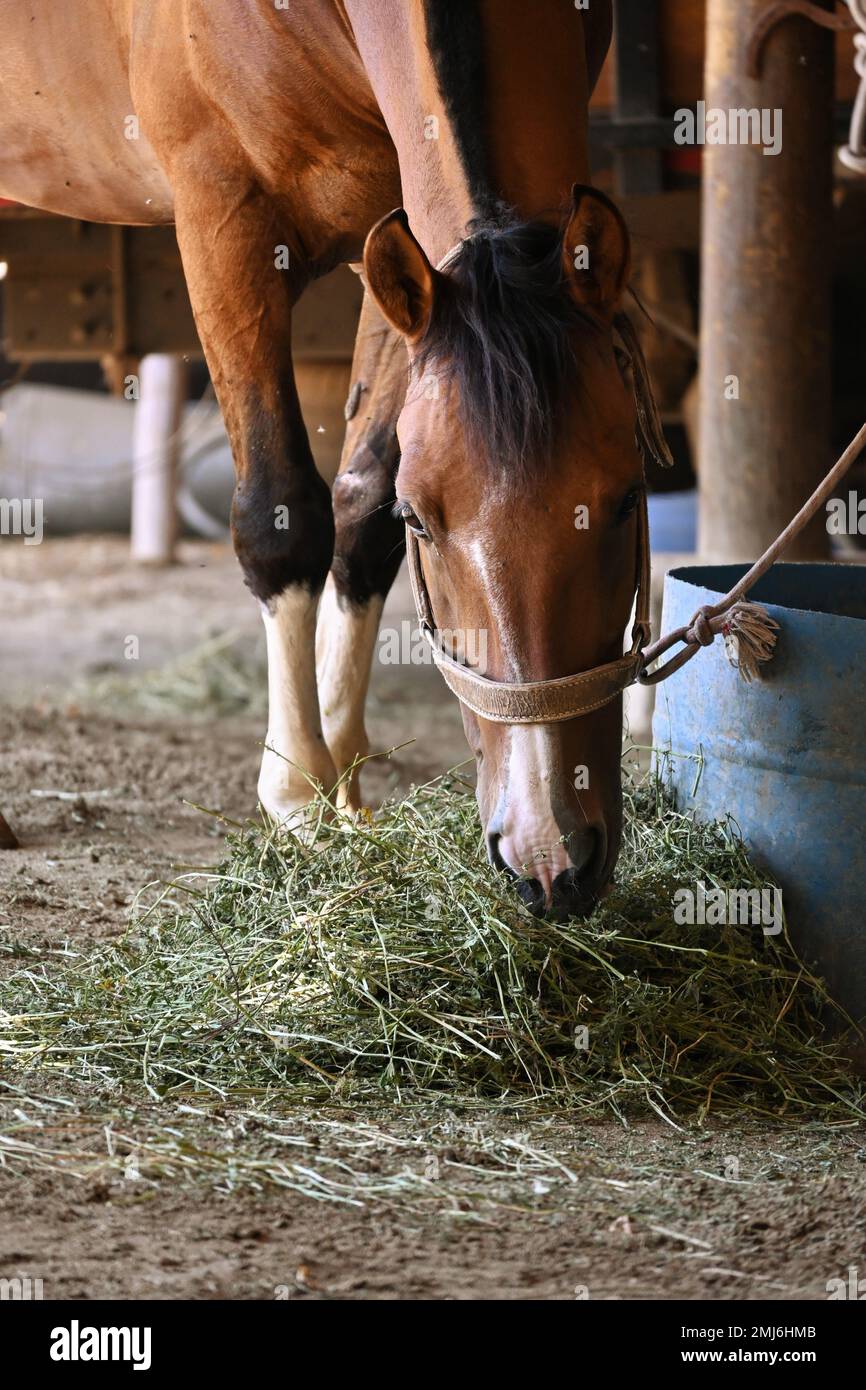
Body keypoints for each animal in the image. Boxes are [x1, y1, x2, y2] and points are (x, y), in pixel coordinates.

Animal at [0, 0, 660, 916]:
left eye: (629, 496)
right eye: (427, 522)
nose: (551, 856)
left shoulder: (396, 243)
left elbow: (359, 504)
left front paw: (345, 780)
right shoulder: (224, 222)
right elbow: (280, 514)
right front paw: (299, 793)